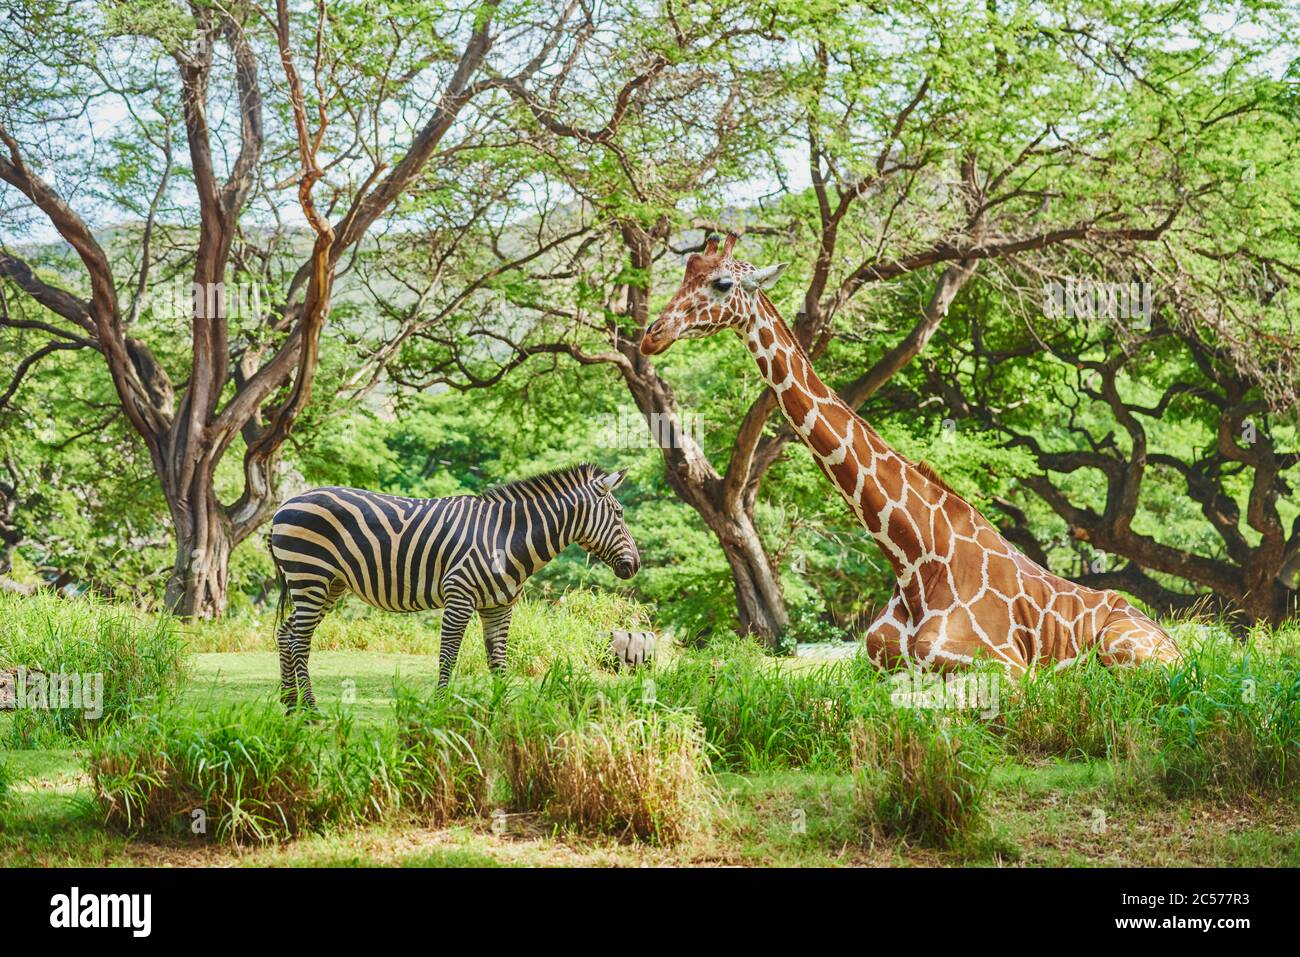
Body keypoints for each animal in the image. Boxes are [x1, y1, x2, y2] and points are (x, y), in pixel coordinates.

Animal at [269, 463, 640, 710]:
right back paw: (311, 708)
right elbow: (448, 656)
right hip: (310, 577)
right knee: (300, 640)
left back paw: (290, 704)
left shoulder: (499, 607)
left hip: (327, 584)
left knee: (286, 633)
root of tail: (284, 505)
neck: (505, 538)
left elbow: (498, 661)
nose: (634, 566)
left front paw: (503, 710)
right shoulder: (459, 596)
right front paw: (441, 706)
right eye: (620, 513)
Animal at [639, 233, 1180, 673]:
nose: (652, 335)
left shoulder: (1005, 667)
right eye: (686, 273)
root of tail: (1172, 640)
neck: (913, 557)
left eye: (722, 283)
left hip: (1124, 649)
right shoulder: (874, 666)